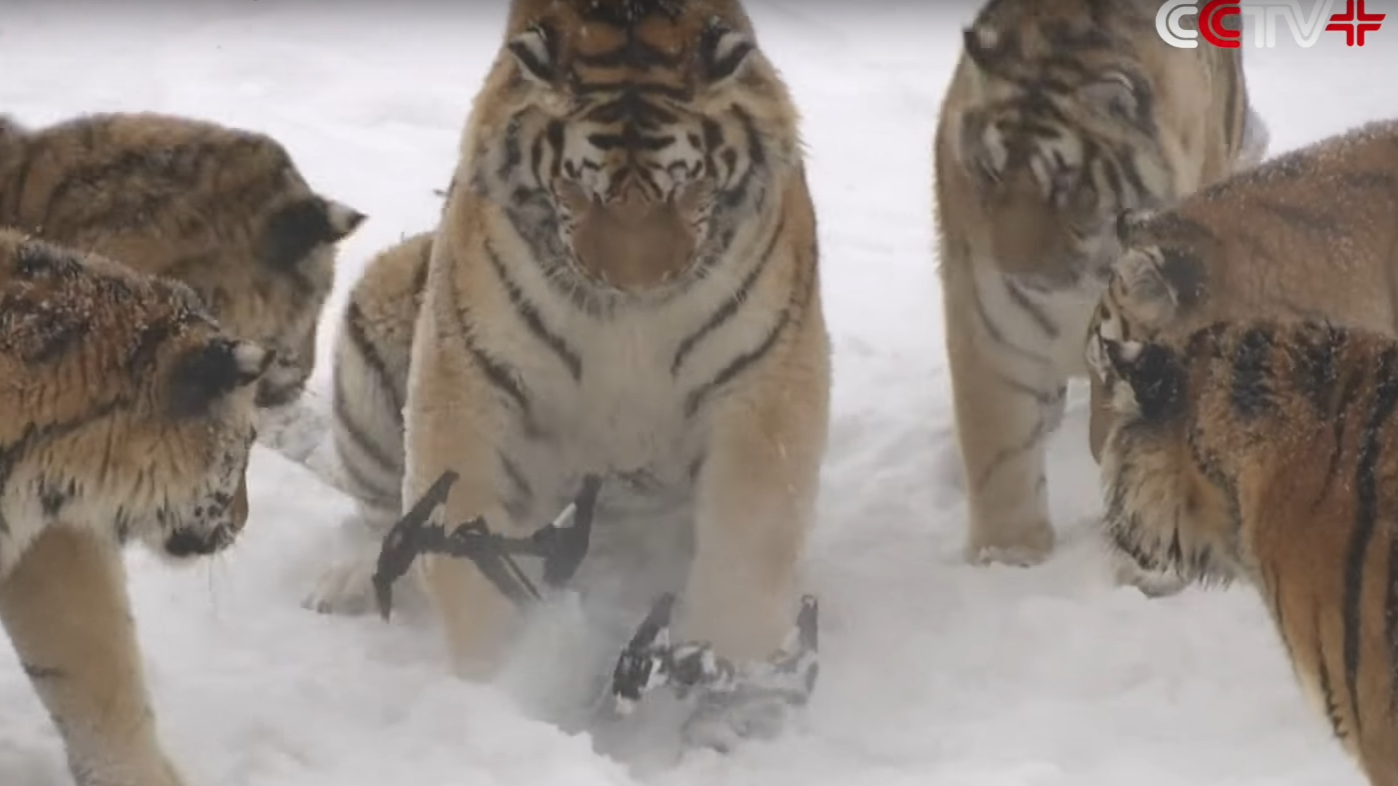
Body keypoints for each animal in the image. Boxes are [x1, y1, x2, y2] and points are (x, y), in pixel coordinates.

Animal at [305, 0, 831, 686]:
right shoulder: (473, 379)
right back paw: (347, 585)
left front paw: (728, 670)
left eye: (687, 187)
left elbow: (748, 543)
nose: (636, 283)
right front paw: (501, 678)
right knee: (384, 522)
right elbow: (463, 544)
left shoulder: (762, 380)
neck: (631, 318)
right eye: (579, 189)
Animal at [933, 0, 1270, 567]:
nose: (1017, 271)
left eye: (1064, 183)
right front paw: (1008, 556)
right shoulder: (992, 327)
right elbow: (1001, 450)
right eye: (992, 173)